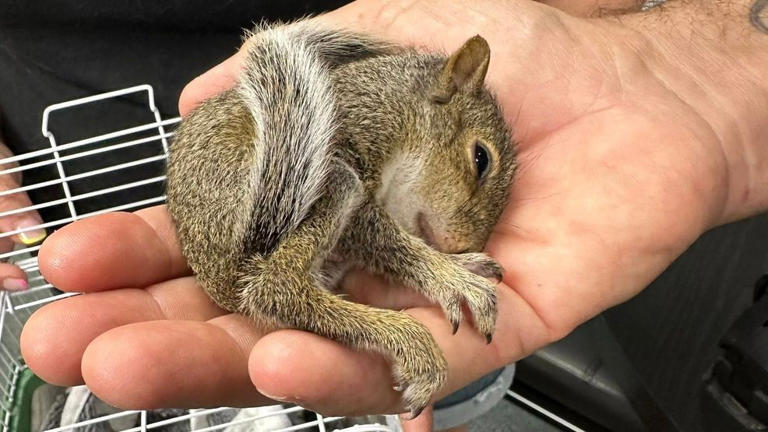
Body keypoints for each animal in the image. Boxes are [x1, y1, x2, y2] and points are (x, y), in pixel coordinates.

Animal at [165, 19, 516, 417]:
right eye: (481, 158)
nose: (465, 245)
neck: (396, 109)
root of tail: (219, 279)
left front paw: (463, 263)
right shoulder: (354, 144)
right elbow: (390, 242)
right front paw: (453, 277)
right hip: (329, 185)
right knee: (278, 288)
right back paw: (408, 339)